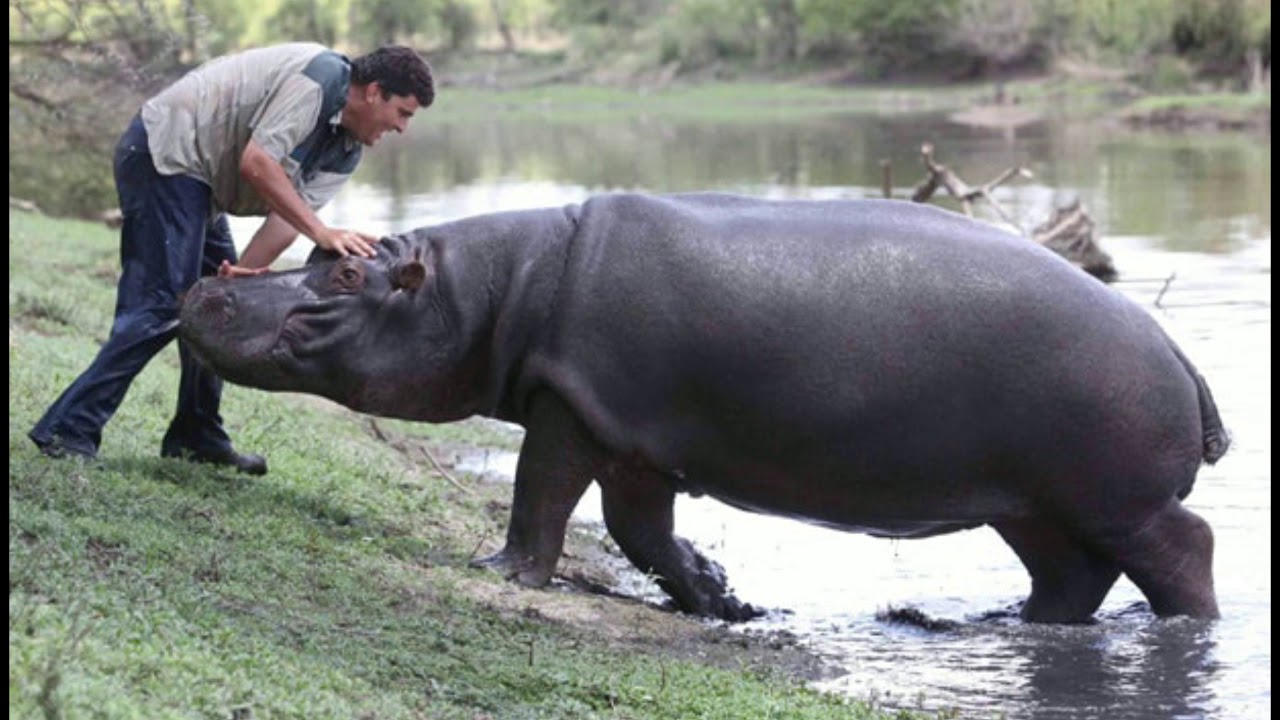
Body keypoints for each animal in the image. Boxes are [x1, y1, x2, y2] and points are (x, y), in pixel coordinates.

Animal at [178, 193, 1229, 623]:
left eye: (341, 272)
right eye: (325, 251)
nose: (206, 286)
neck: (493, 290)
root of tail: (1178, 352)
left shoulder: (568, 409)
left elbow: (540, 497)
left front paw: (499, 571)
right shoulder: (628, 438)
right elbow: (640, 533)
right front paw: (723, 596)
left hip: (1117, 499)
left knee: (1185, 551)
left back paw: (1188, 630)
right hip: (1033, 502)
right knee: (1072, 577)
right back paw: (1015, 622)